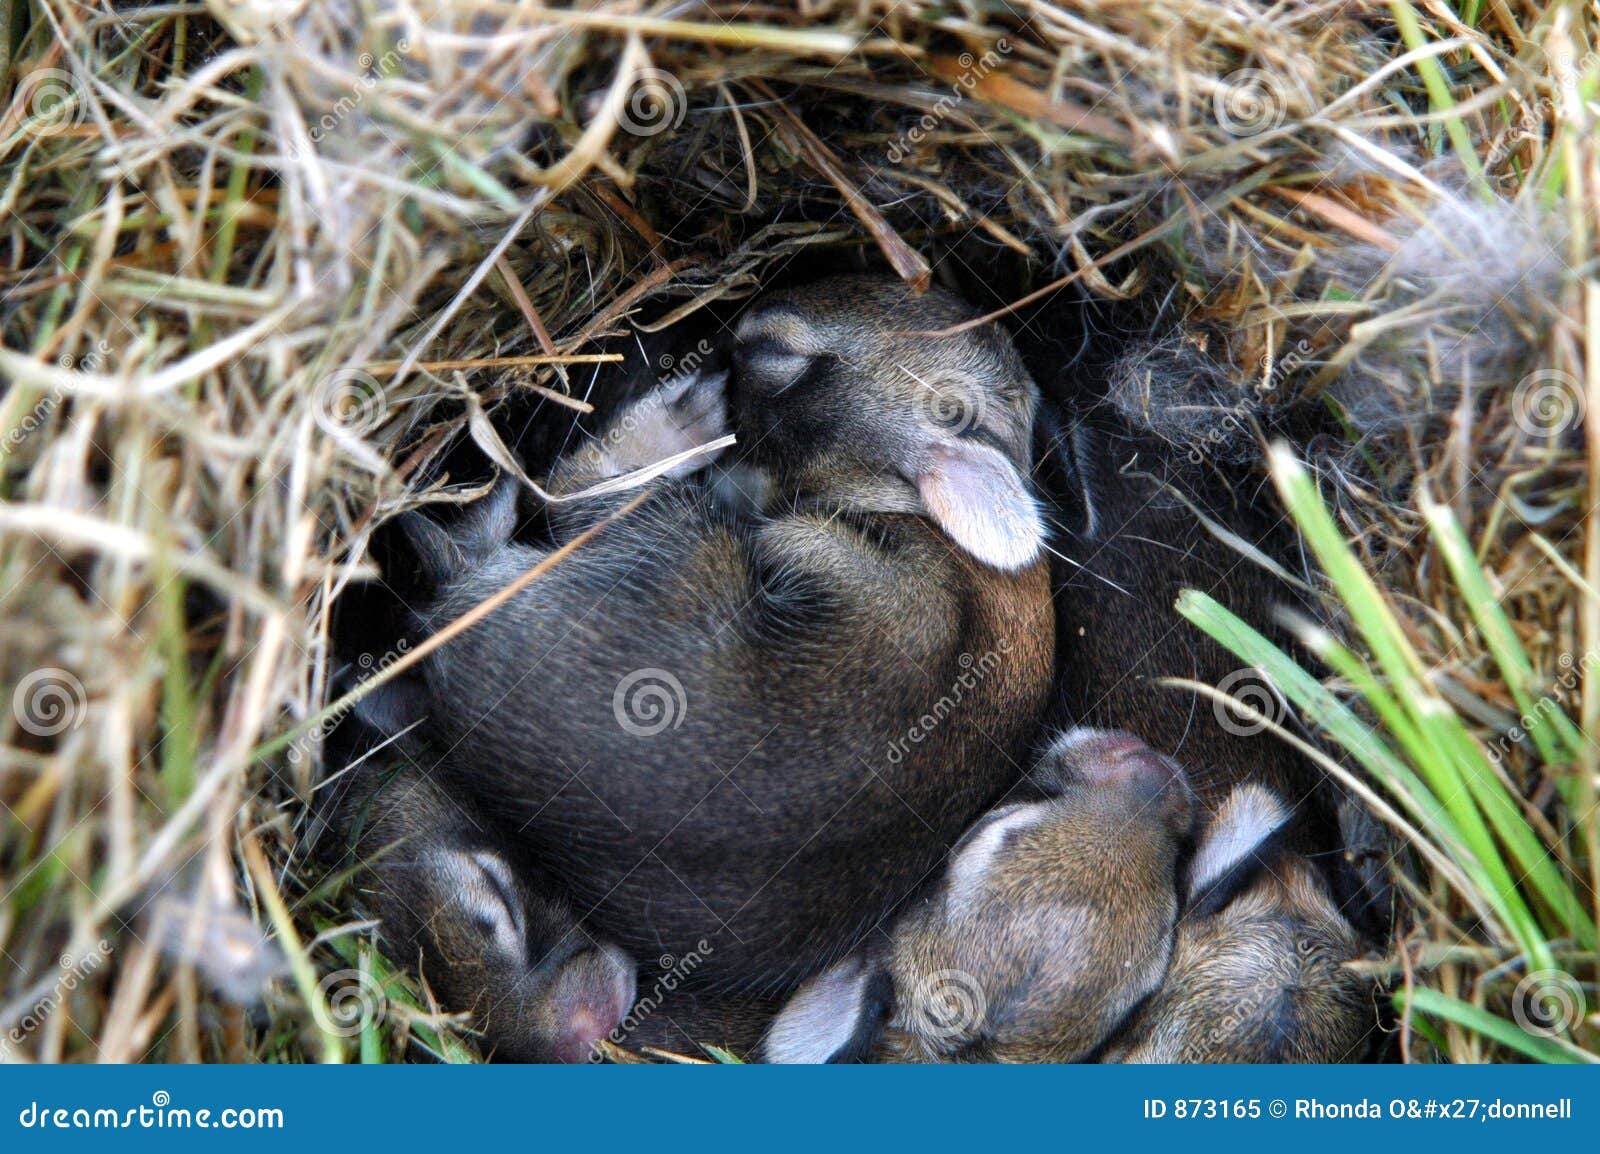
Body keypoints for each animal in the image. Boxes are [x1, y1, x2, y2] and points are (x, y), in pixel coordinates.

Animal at [359, 275, 1056, 1014]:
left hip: (669, 549)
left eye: (778, 352)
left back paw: (673, 428)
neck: (927, 519)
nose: (732, 329)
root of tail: (451, 628)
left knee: (581, 494)